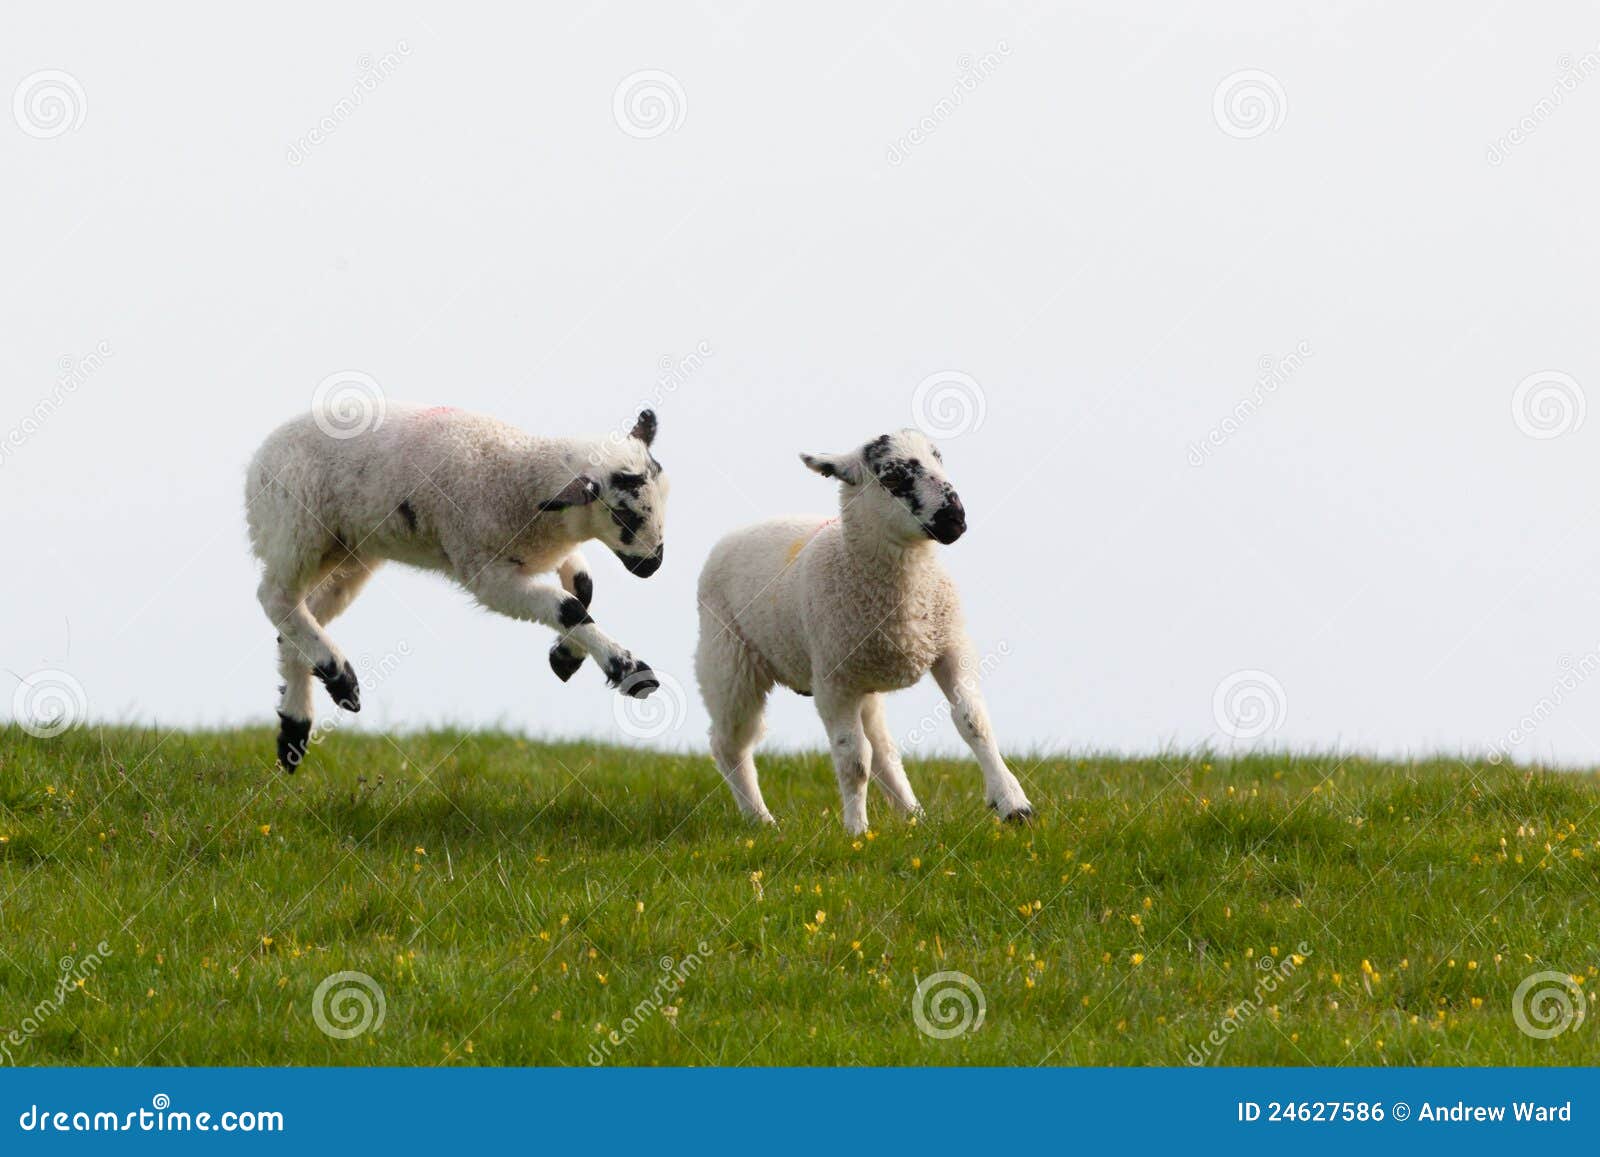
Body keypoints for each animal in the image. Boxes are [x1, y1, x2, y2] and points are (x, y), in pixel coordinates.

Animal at [245, 403, 668, 772]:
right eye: (623, 514)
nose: (652, 565)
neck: (523, 476)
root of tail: (258, 461)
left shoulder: (545, 553)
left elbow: (583, 588)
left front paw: (565, 657)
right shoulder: (487, 574)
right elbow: (568, 606)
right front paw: (630, 671)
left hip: (348, 552)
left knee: (296, 616)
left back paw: (295, 727)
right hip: (296, 528)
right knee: (275, 598)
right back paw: (340, 679)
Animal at [694, 429, 1034, 834]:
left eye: (938, 458)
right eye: (892, 477)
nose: (955, 518)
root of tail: (738, 532)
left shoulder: (951, 648)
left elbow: (974, 722)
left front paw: (1014, 804)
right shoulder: (833, 682)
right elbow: (853, 759)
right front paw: (856, 831)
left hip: (863, 679)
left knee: (884, 749)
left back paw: (913, 814)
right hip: (729, 660)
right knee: (730, 744)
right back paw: (762, 821)